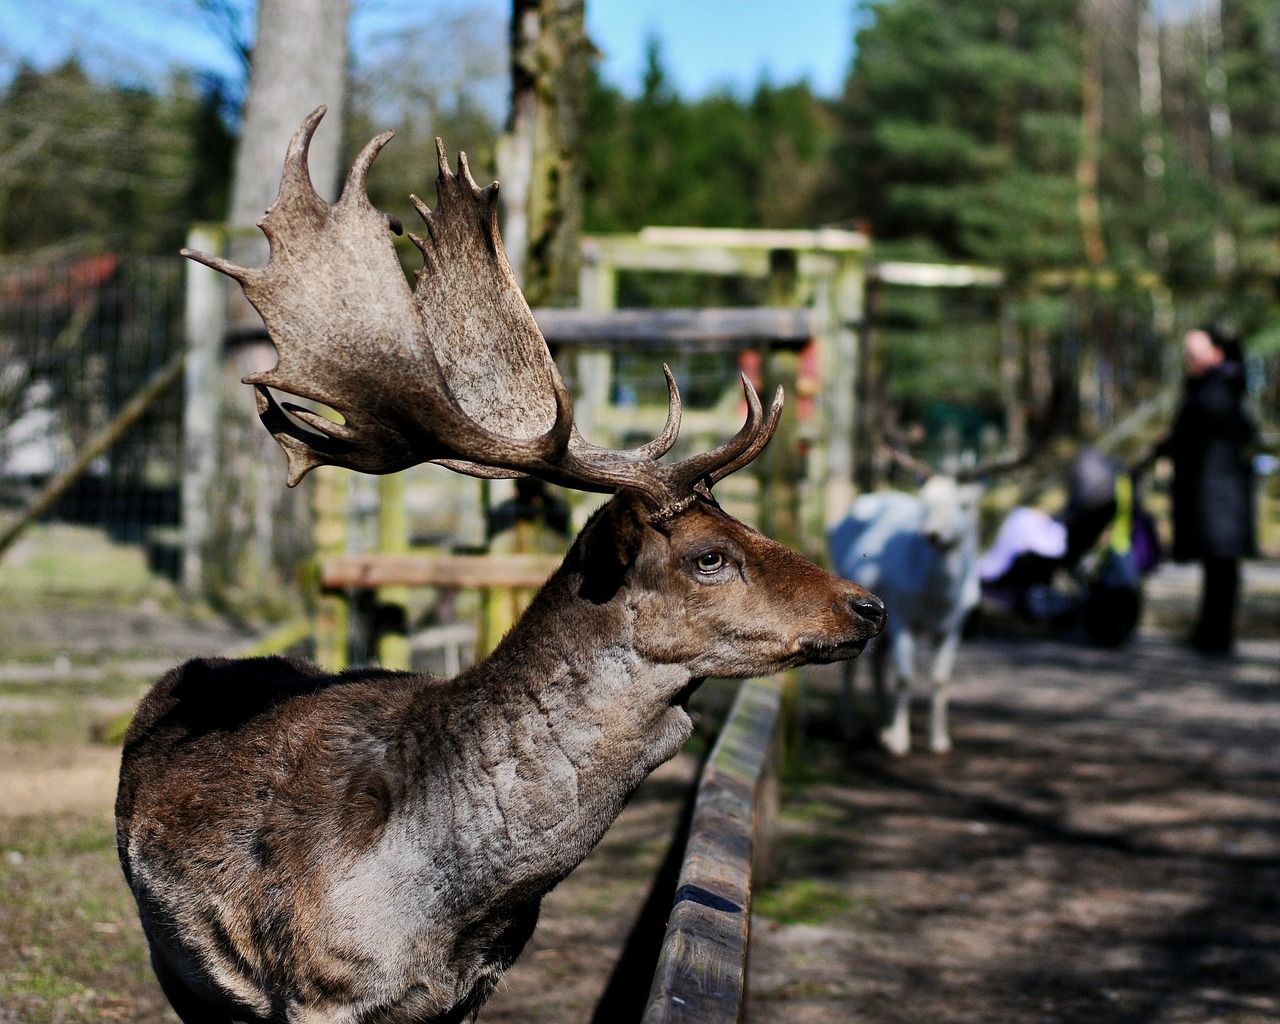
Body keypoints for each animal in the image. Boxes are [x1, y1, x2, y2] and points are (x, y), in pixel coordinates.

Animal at [115, 106, 886, 1024]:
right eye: (709, 556)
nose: (867, 605)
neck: (450, 912)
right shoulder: (313, 987)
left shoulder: (469, 994)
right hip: (175, 964)